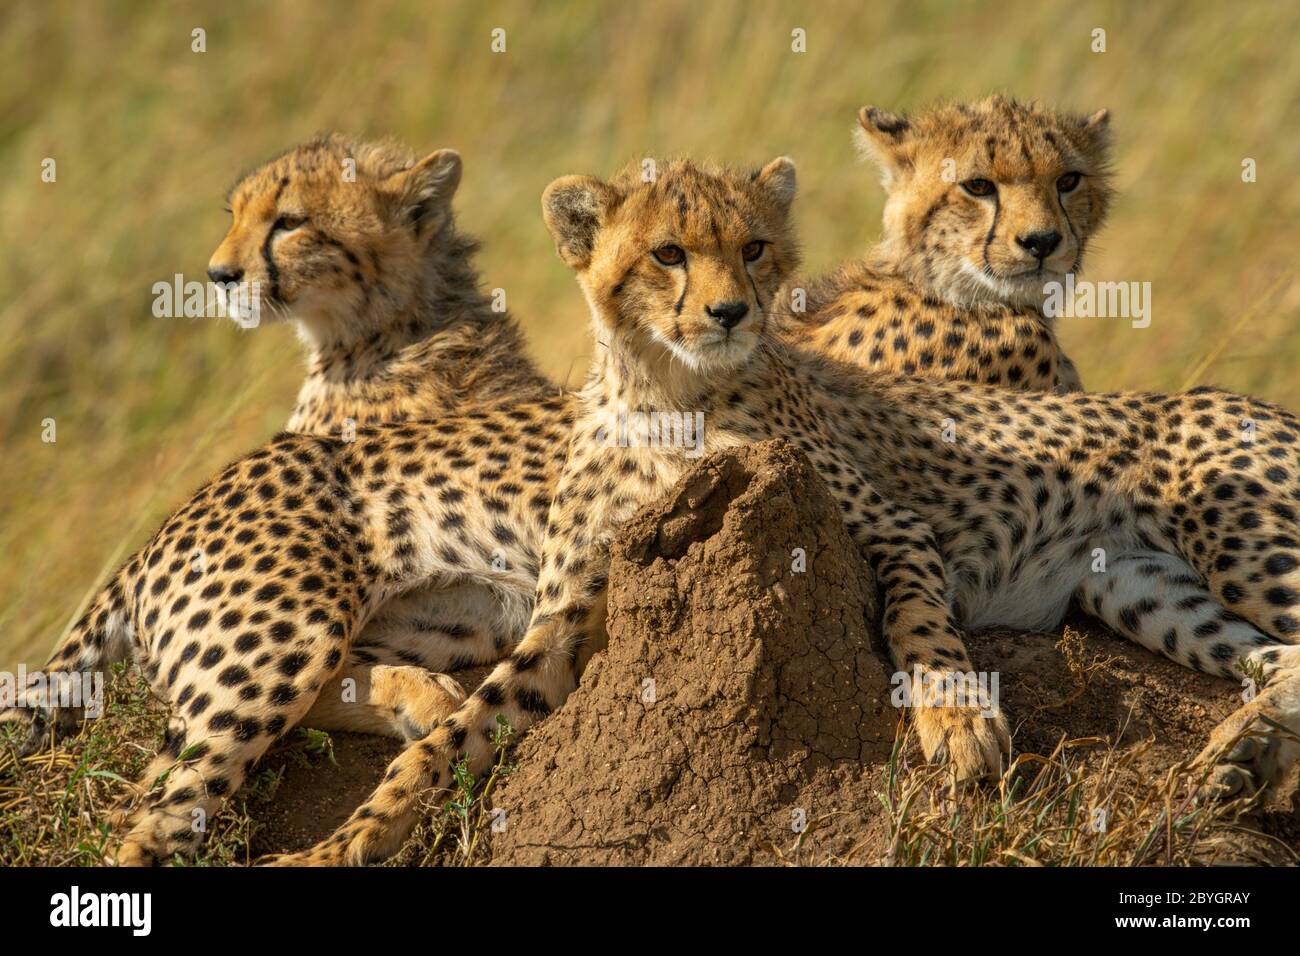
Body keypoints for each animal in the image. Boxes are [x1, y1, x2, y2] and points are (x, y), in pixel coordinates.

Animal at [281, 156, 1300, 866]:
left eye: (755, 248)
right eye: (667, 253)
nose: (731, 312)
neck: (670, 396)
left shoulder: (892, 528)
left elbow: (921, 625)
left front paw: (956, 721)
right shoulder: (564, 622)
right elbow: (452, 736)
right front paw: (346, 841)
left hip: (1241, 538)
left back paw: (1236, 757)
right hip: (1139, 588)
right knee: (1279, 662)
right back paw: (1239, 757)